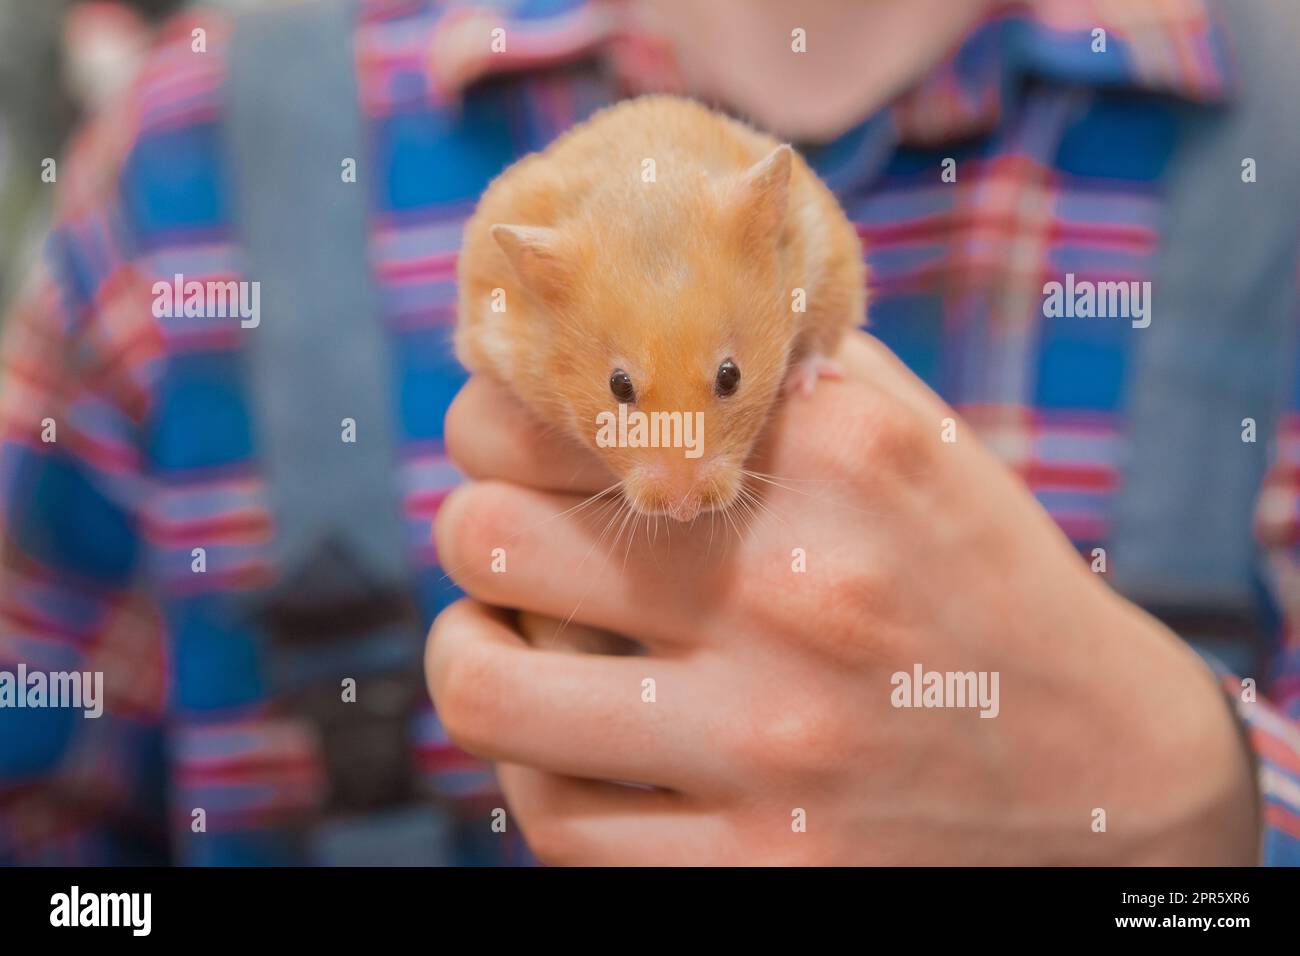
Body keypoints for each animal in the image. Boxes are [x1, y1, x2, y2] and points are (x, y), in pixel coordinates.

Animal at [456, 95, 866, 522]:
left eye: (730, 376)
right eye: (618, 385)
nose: (684, 511)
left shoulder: (826, 252)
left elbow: (822, 336)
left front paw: (805, 383)